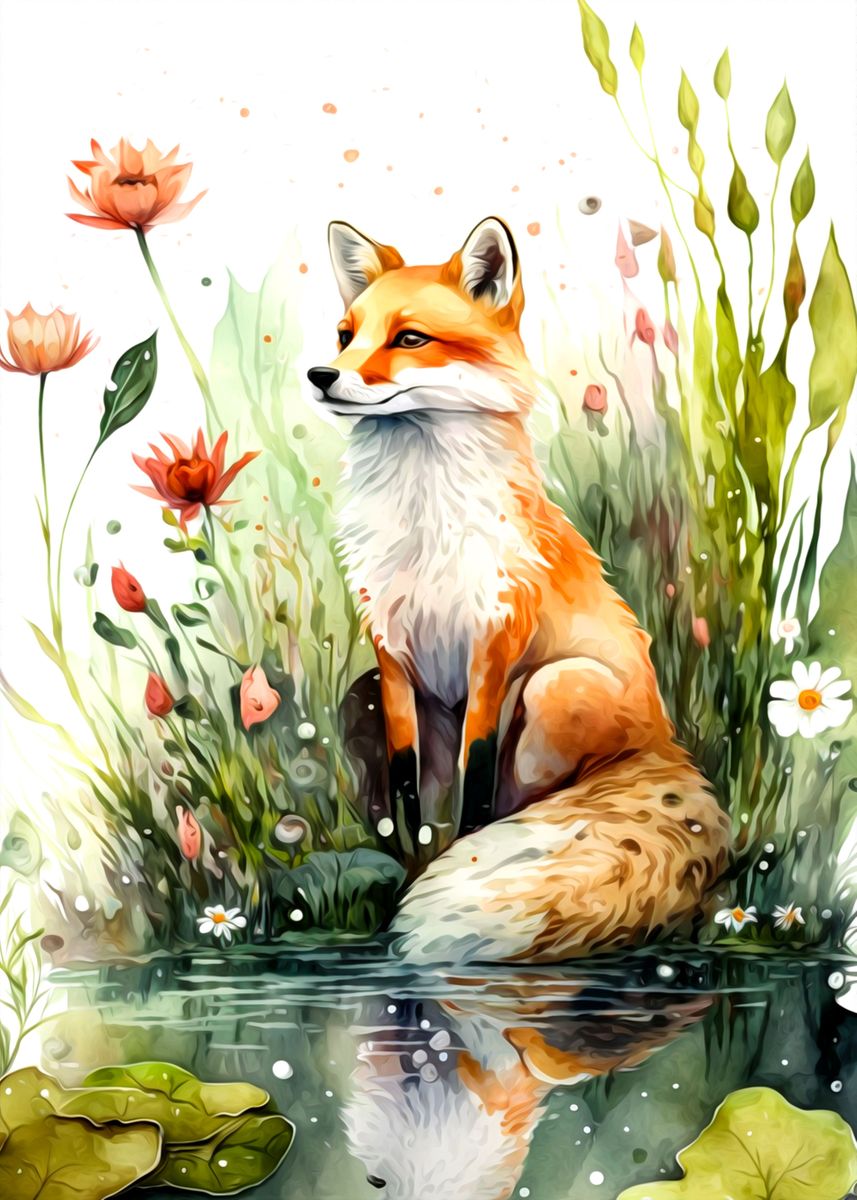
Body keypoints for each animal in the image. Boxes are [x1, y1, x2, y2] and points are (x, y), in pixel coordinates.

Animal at [308, 216, 730, 964]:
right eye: (345, 334)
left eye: (408, 339)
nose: (320, 375)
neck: (425, 519)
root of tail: (669, 747)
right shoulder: (390, 657)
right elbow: (409, 799)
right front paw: (411, 875)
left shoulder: (492, 650)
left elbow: (474, 795)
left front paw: (442, 876)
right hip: (359, 694)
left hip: (551, 688)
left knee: (521, 804)